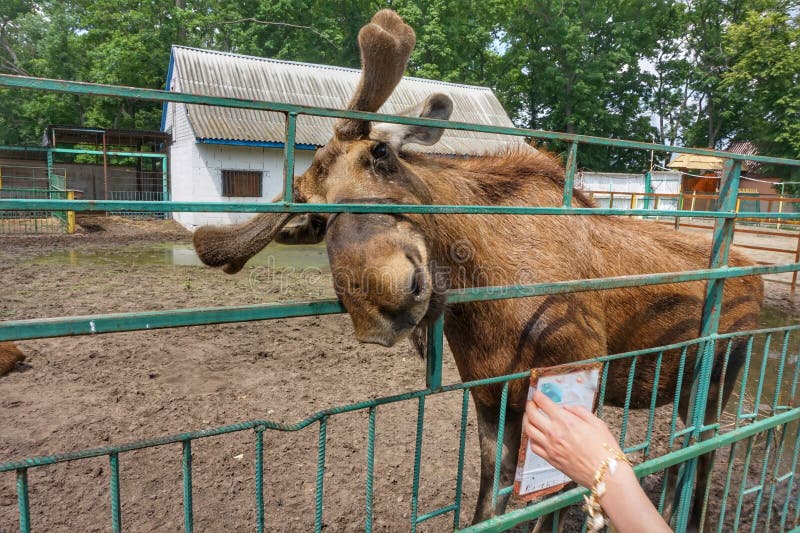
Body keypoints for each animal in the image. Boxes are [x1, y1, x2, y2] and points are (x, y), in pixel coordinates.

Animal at [192, 10, 762, 531]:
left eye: (381, 152)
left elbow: (544, 510)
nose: (380, 300)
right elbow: (489, 505)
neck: (486, 304)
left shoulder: (571, 379)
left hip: (715, 382)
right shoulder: (490, 397)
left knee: (703, 457)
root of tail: (756, 275)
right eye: (313, 216)